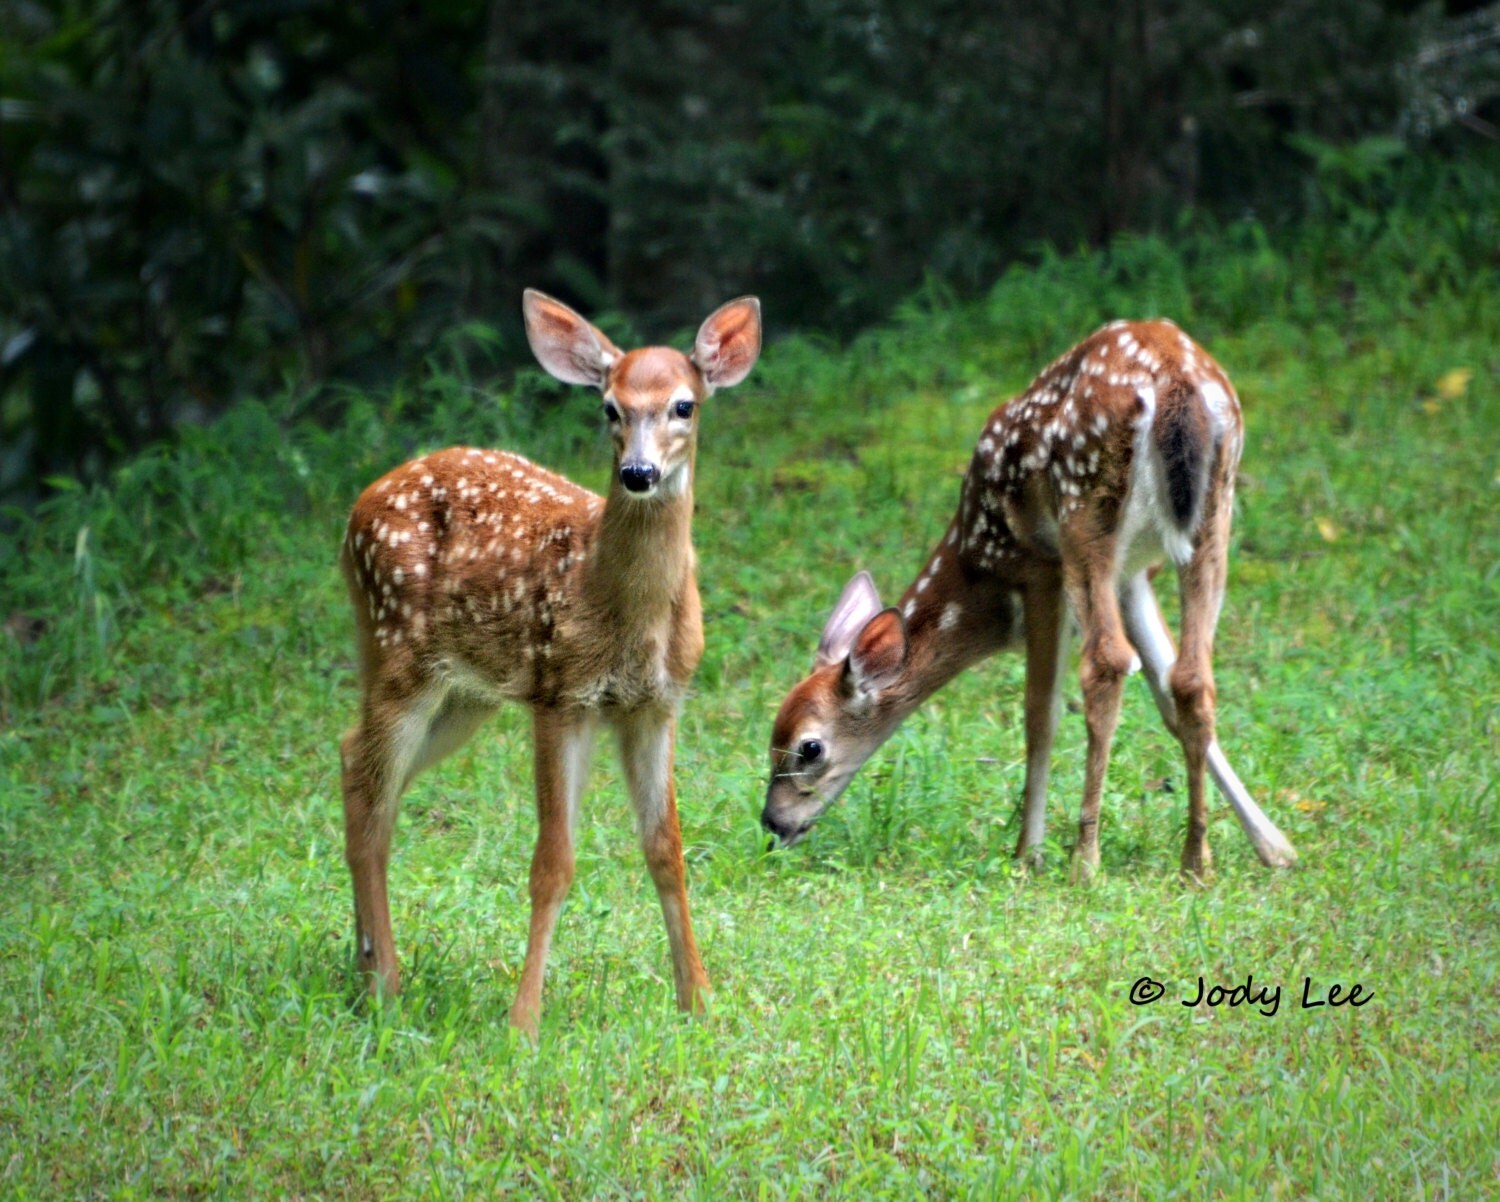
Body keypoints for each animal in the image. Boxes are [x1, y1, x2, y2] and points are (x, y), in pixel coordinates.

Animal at [338, 288, 761, 1033]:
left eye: (685, 405)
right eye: (609, 408)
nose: (639, 473)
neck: (621, 608)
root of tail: (355, 510)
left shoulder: (657, 705)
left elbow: (667, 852)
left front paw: (699, 1001)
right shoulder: (559, 695)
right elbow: (553, 863)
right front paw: (523, 1022)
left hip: (464, 696)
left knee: (355, 761)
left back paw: (364, 968)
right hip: (400, 653)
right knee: (368, 788)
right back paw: (386, 984)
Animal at [762, 320, 1297, 880]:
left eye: (808, 748)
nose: (772, 824)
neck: (977, 567)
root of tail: (1174, 376)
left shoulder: (1036, 567)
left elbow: (1041, 713)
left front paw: (1027, 851)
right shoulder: (1132, 574)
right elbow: (1168, 698)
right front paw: (1275, 847)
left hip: (1085, 508)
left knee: (1106, 663)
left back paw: (1085, 860)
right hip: (1213, 512)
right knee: (1194, 677)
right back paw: (1195, 860)